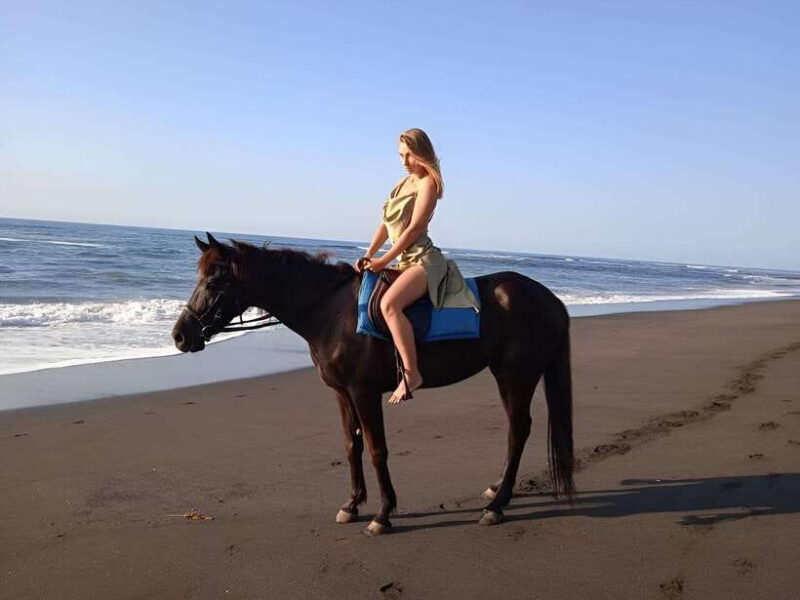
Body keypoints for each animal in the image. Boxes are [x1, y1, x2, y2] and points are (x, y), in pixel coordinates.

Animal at [172, 233, 575, 536]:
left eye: (215, 279)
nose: (180, 335)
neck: (332, 310)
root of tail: (550, 299)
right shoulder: (343, 394)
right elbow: (353, 446)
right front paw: (352, 504)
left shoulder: (364, 392)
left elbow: (378, 449)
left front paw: (383, 513)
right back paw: (496, 490)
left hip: (515, 376)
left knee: (518, 430)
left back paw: (497, 504)